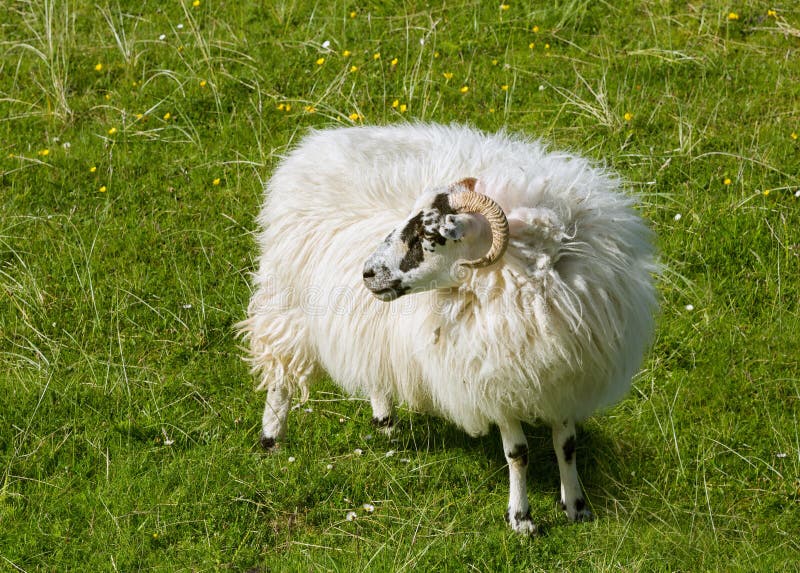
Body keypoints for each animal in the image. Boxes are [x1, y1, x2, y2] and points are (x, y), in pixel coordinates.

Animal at [238, 123, 658, 534]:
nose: (368, 272)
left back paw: (385, 424)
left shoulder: (564, 379)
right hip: (288, 302)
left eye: (428, 235)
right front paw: (521, 519)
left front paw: (576, 507)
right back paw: (272, 438)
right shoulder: (495, 380)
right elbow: (517, 454)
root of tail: (316, 142)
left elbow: (566, 445)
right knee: (280, 372)